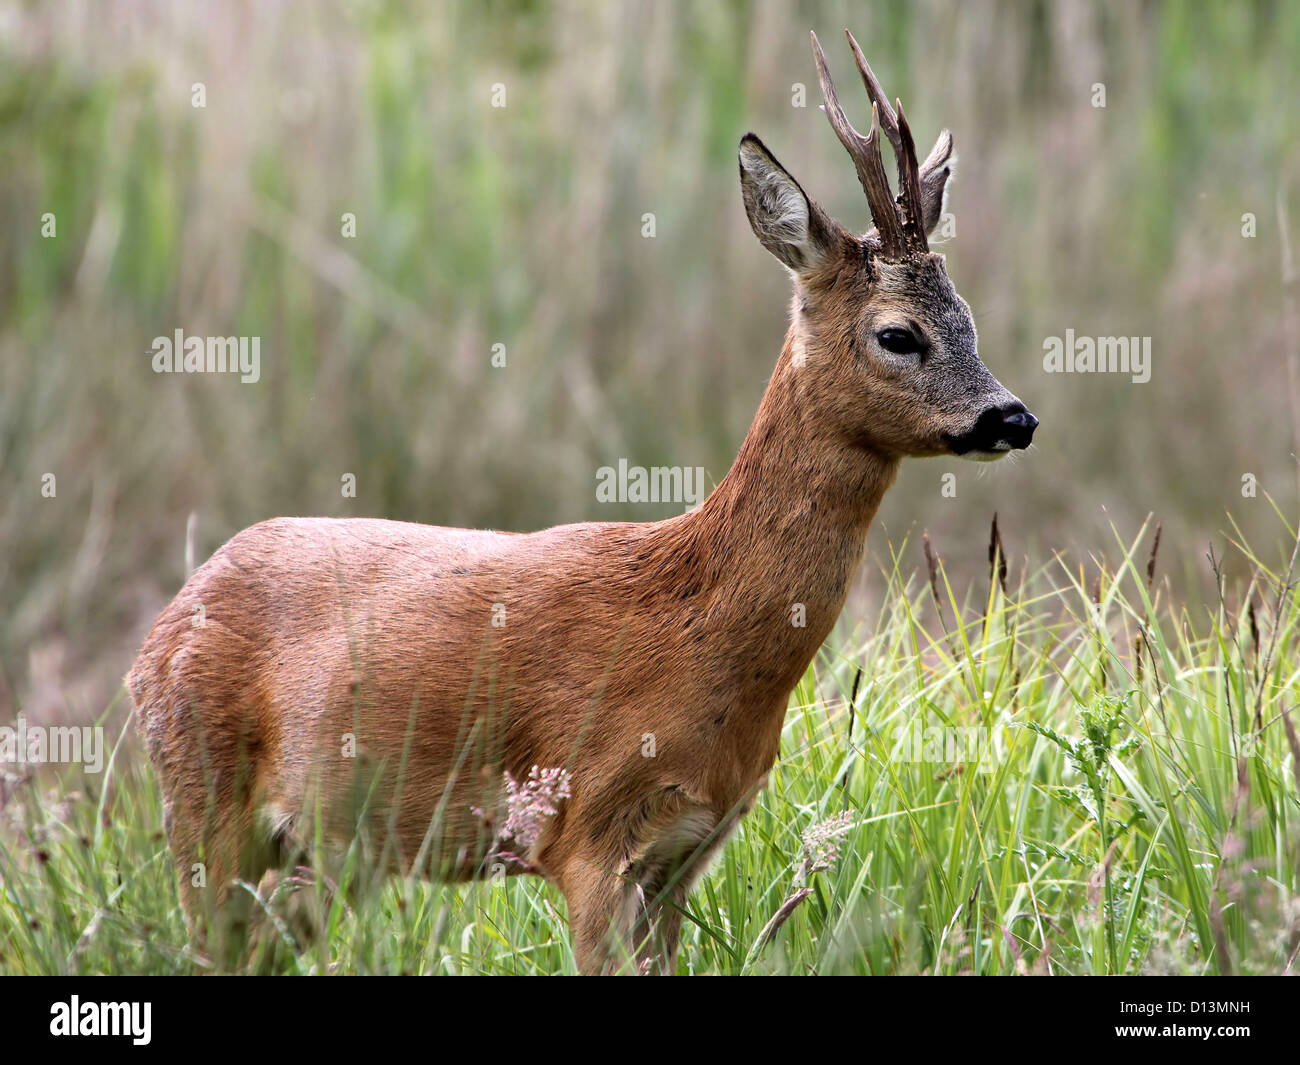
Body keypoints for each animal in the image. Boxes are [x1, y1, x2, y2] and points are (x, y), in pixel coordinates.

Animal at [127, 29, 1037, 975]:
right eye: (899, 333)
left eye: (969, 317)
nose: (1012, 416)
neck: (696, 623)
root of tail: (166, 622)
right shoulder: (590, 832)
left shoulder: (687, 848)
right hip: (201, 799)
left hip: (326, 848)